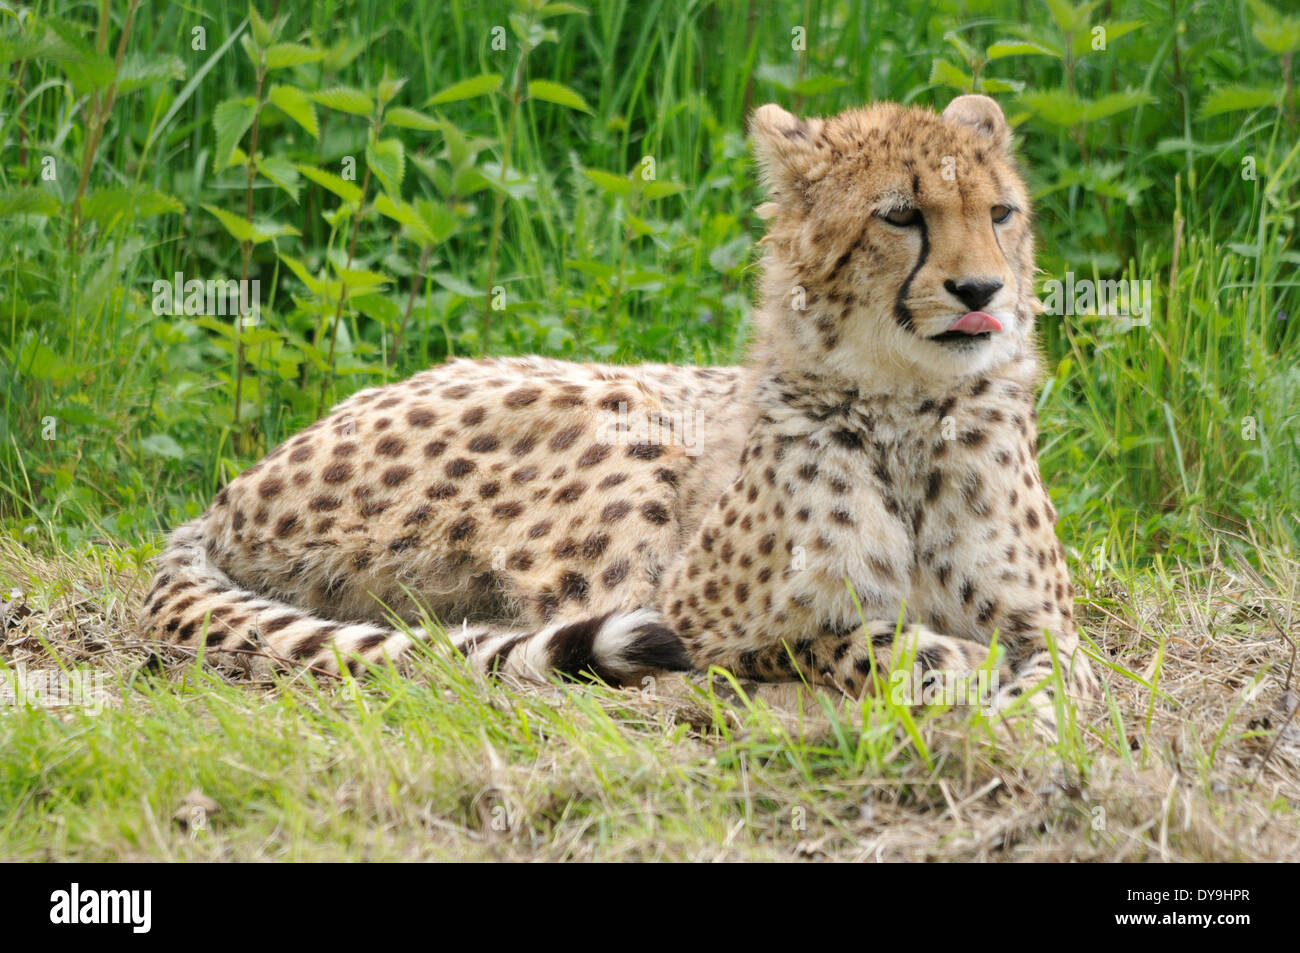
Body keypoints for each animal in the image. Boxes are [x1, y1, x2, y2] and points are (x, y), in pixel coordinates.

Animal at [140, 94, 1098, 731]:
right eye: (901, 215)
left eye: (1001, 213)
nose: (983, 291)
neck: (908, 409)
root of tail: (227, 497)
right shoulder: (699, 616)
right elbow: (830, 640)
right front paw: (945, 669)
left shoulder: (1047, 625)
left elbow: (1067, 681)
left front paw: (1019, 717)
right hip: (619, 412)